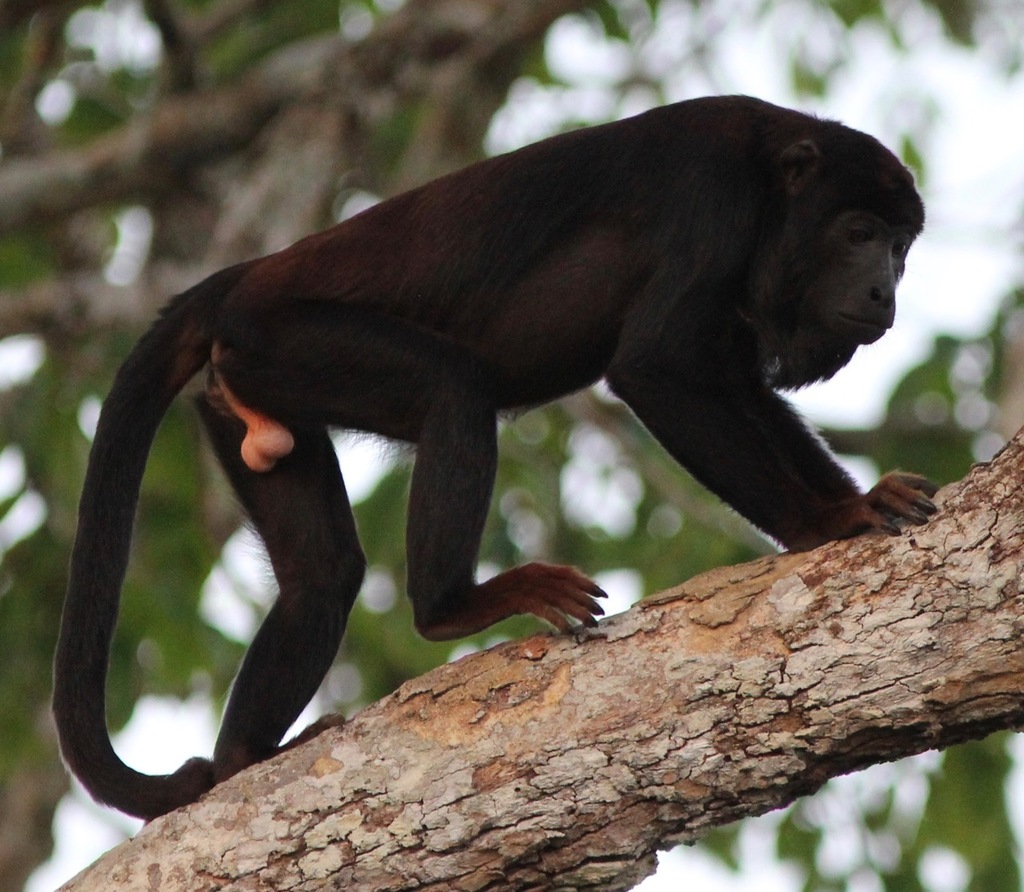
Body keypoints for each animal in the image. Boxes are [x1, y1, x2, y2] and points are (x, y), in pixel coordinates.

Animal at [53, 95, 937, 820]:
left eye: (900, 248)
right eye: (858, 235)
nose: (885, 293)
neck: (771, 175)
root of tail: (242, 281)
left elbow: (742, 387)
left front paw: (866, 498)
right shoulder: (711, 199)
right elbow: (659, 367)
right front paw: (829, 520)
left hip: (245, 390)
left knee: (322, 576)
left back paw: (244, 756)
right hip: (283, 339)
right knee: (455, 387)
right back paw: (455, 606)